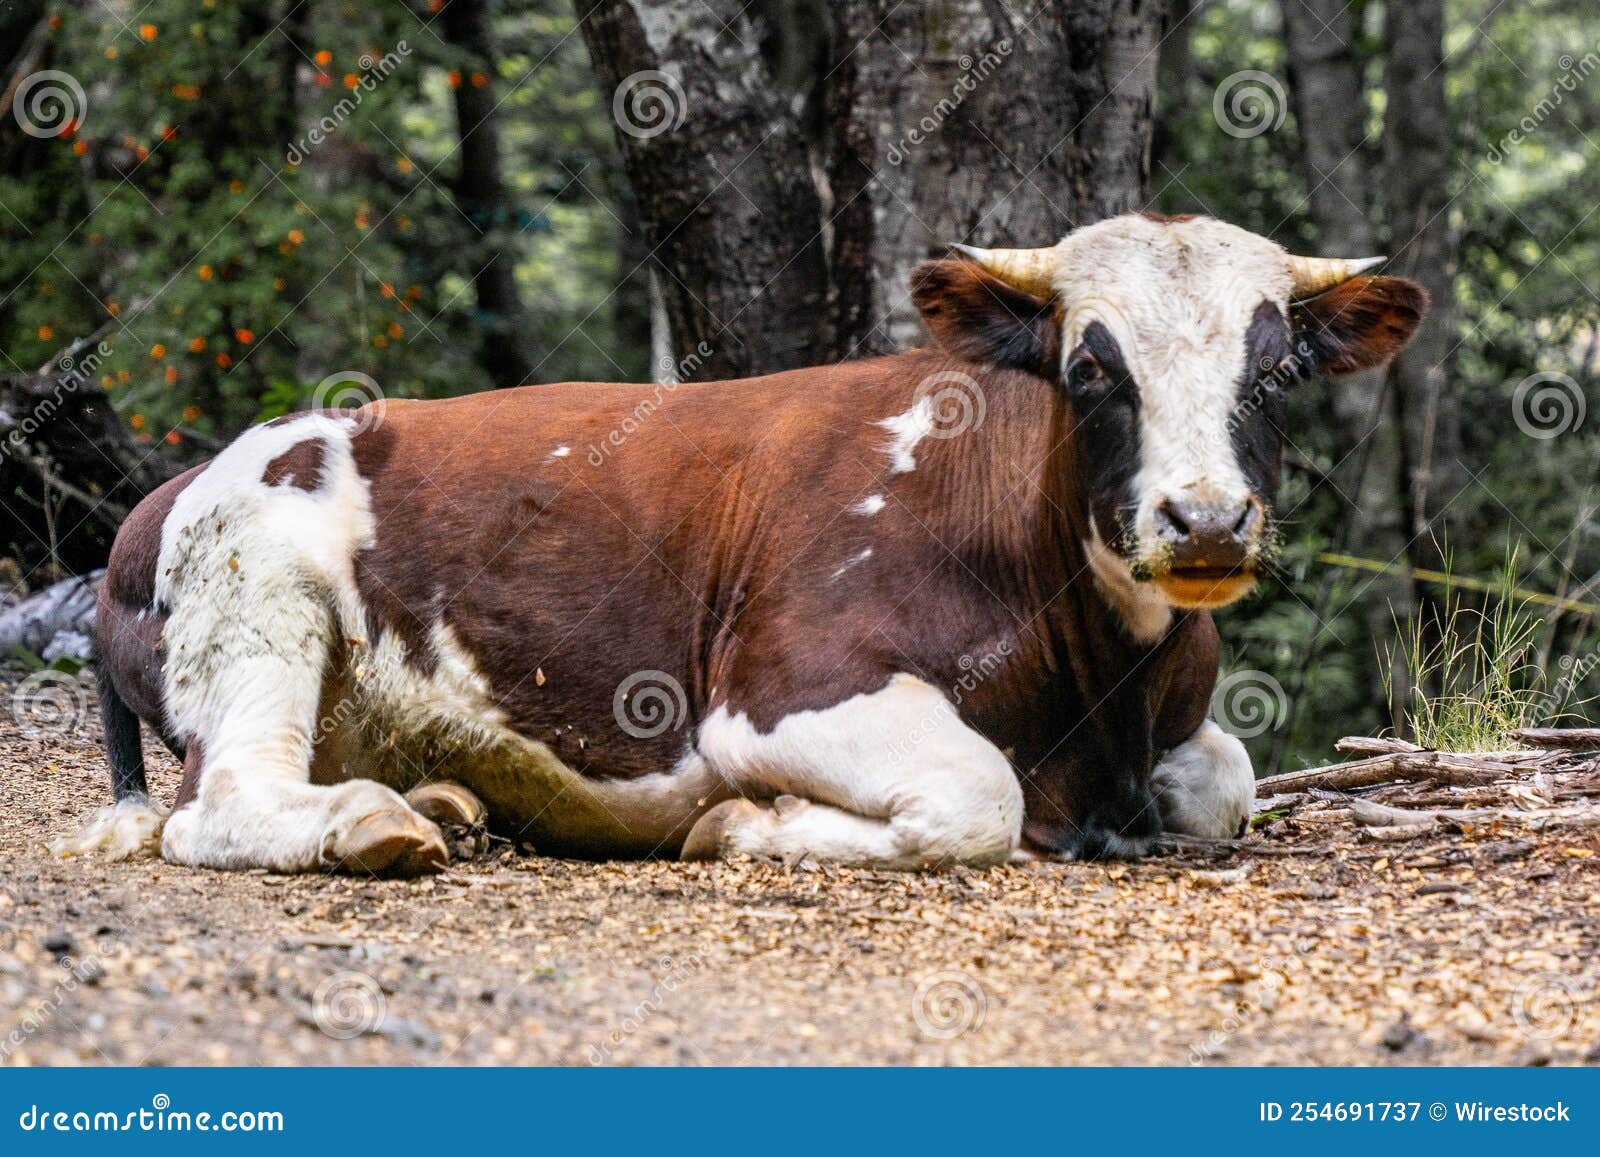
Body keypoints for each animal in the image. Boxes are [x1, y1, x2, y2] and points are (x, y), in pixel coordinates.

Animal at [56, 213, 1426, 875]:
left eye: (1277, 370)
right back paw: (370, 824)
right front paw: (746, 827)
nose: (1204, 520)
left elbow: (1227, 780)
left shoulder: (1183, 732)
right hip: (261, 603)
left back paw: (440, 794)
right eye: (1091, 368)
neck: (1100, 691)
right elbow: (974, 793)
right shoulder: (780, 687)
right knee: (220, 801)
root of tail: (169, 487)